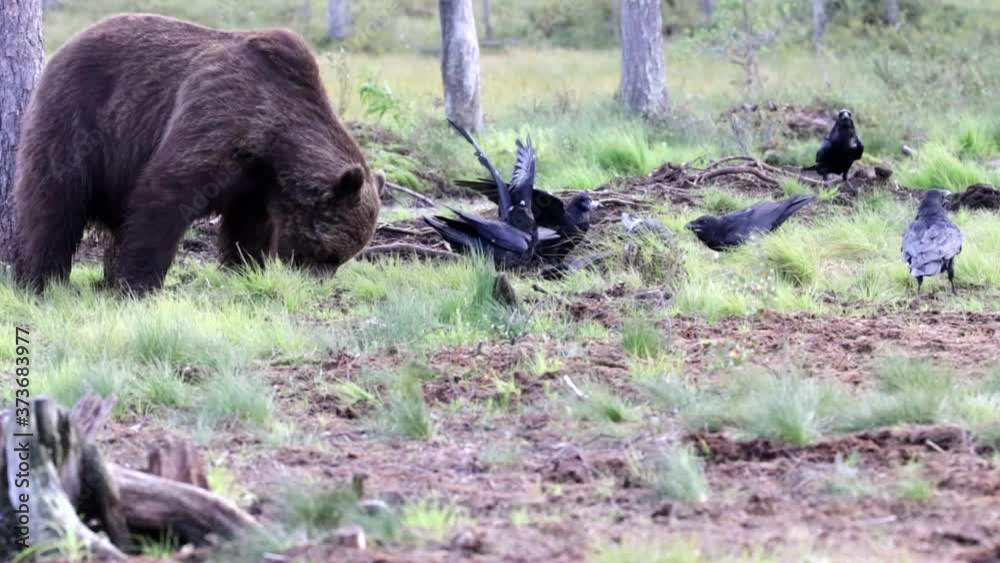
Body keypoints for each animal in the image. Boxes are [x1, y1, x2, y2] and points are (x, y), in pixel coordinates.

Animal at [12, 13, 381, 293]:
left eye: (340, 258)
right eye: (326, 254)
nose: (316, 283)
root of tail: (67, 44)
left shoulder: (256, 182)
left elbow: (247, 227)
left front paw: (244, 270)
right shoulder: (218, 117)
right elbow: (164, 193)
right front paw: (140, 284)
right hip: (78, 118)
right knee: (53, 203)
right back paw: (41, 279)